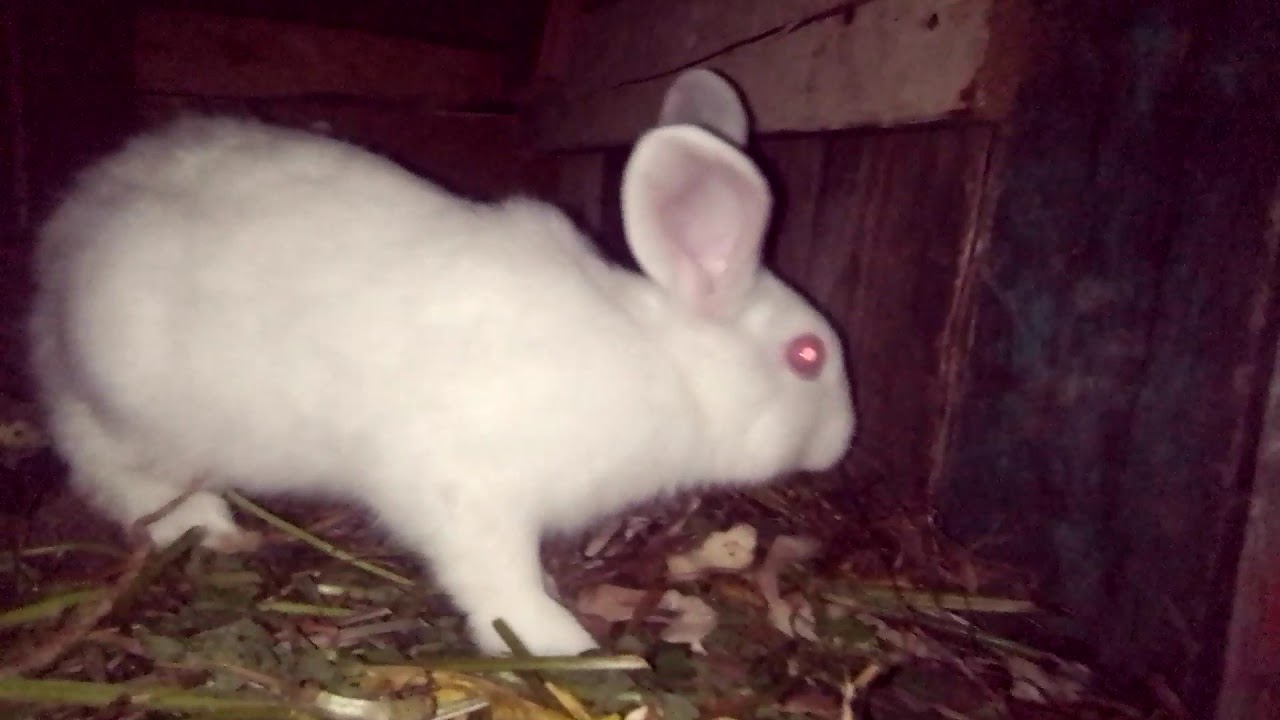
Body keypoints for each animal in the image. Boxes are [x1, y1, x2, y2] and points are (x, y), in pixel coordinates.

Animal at [27, 68, 856, 656]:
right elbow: (497, 577)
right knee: (102, 463)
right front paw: (557, 641)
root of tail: (65, 242)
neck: (664, 366)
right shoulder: (470, 494)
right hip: (129, 400)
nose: (842, 442)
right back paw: (201, 521)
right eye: (807, 355)